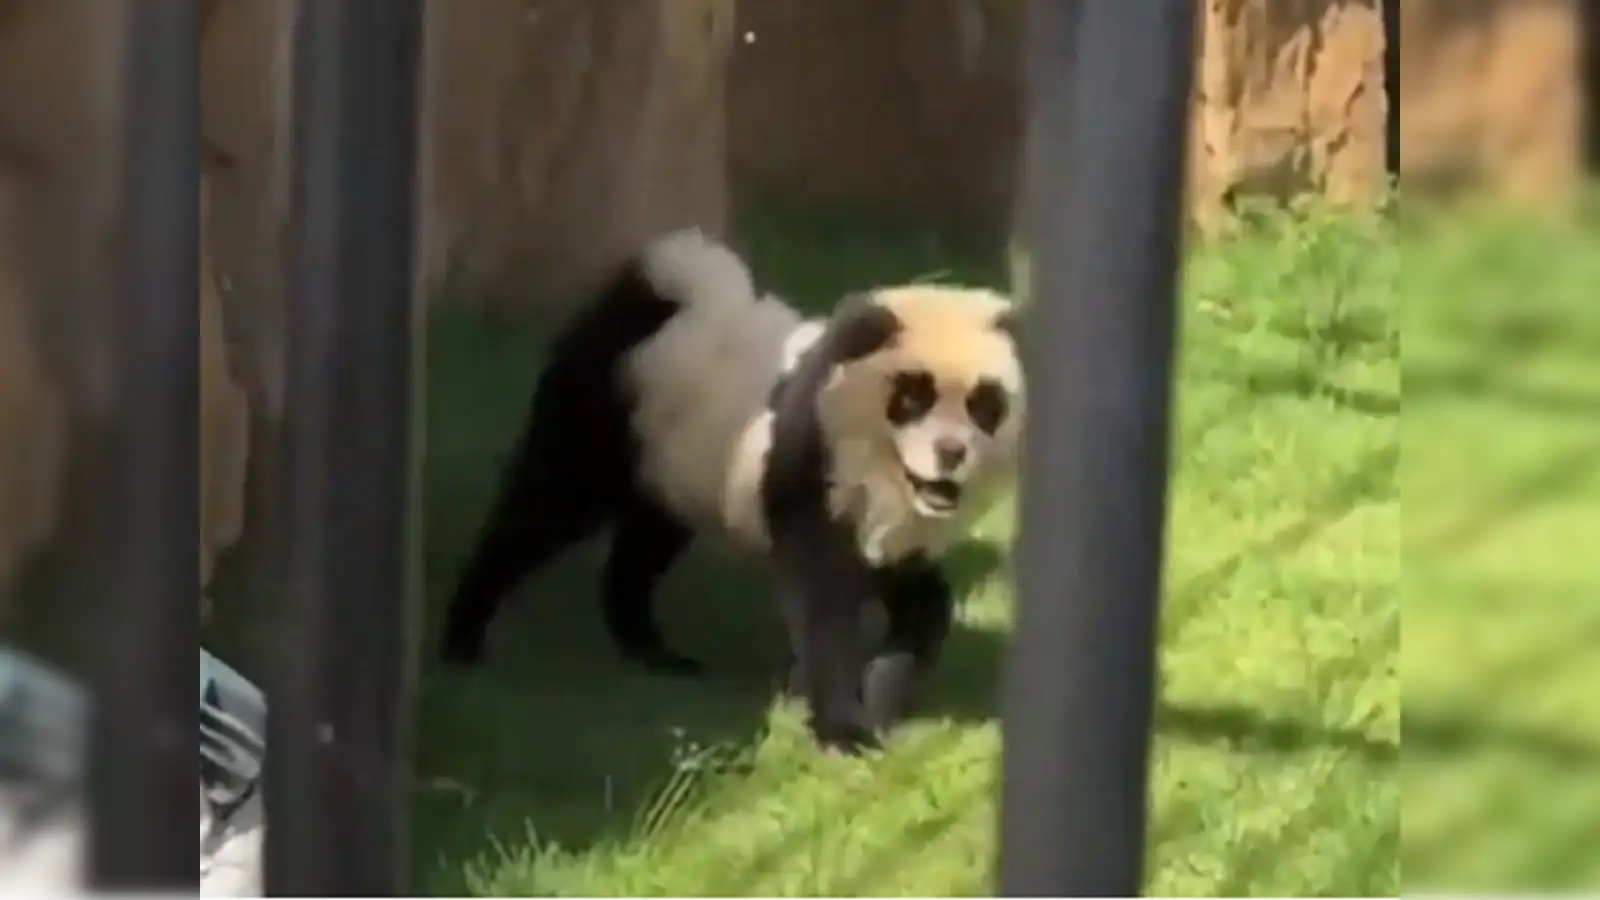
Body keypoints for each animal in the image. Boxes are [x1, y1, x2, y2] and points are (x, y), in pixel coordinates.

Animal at [439, 228, 1026, 753]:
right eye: (912, 398)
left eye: (984, 404)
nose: (951, 453)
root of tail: (652, 290)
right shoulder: (810, 465)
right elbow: (824, 604)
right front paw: (842, 730)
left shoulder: (894, 530)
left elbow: (923, 599)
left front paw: (882, 692)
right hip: (603, 413)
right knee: (543, 510)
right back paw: (463, 640)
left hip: (677, 463)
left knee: (640, 551)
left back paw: (656, 653)